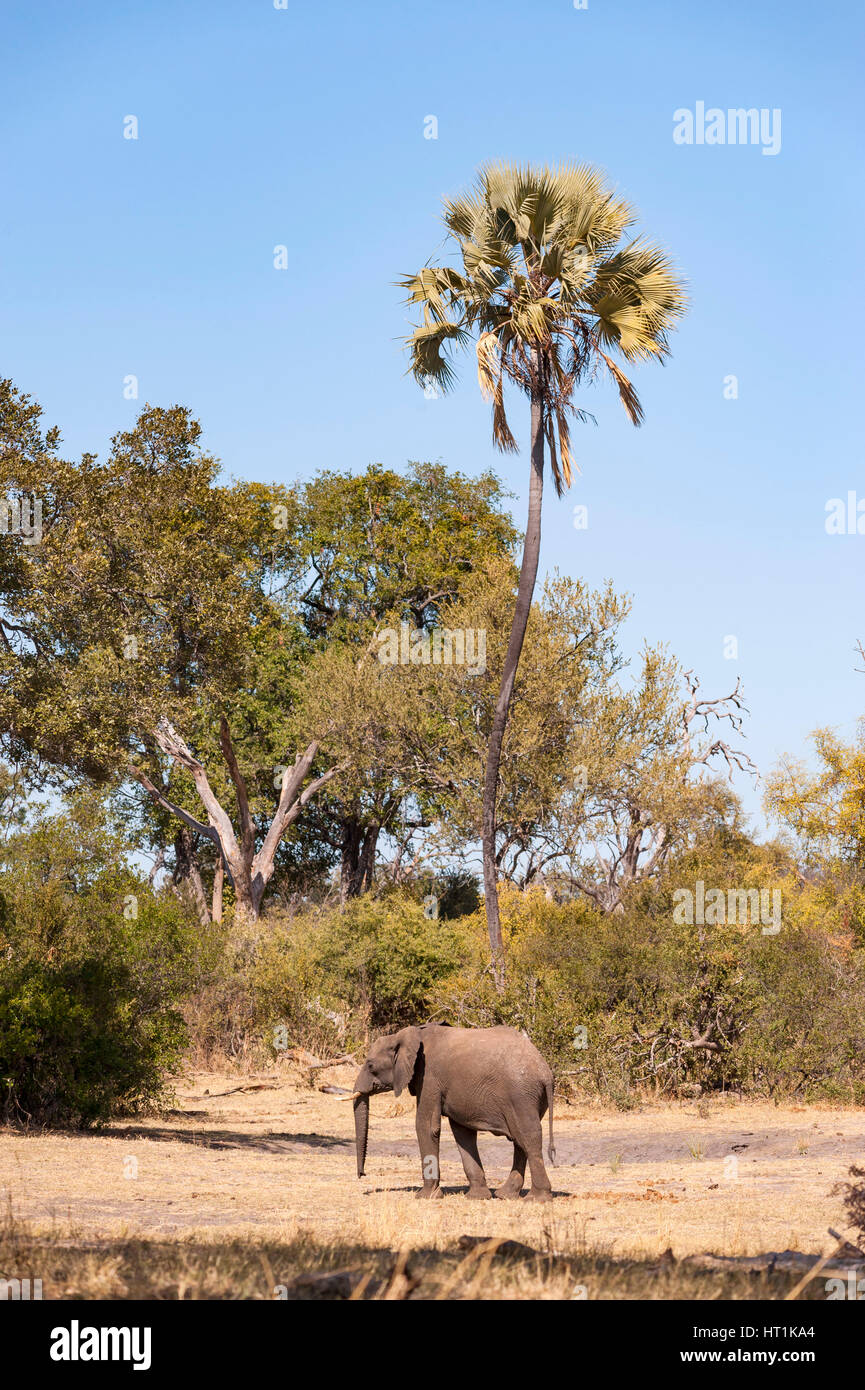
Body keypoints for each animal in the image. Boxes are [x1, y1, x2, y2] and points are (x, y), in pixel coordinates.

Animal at [350, 1022, 556, 1201]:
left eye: (370, 1065)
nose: (362, 1174)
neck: (408, 1034)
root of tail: (545, 1072)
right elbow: (462, 1133)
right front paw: (477, 1197)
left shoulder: (429, 1077)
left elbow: (426, 1126)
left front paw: (426, 1197)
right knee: (520, 1141)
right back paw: (505, 1195)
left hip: (520, 1096)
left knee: (528, 1138)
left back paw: (536, 1199)